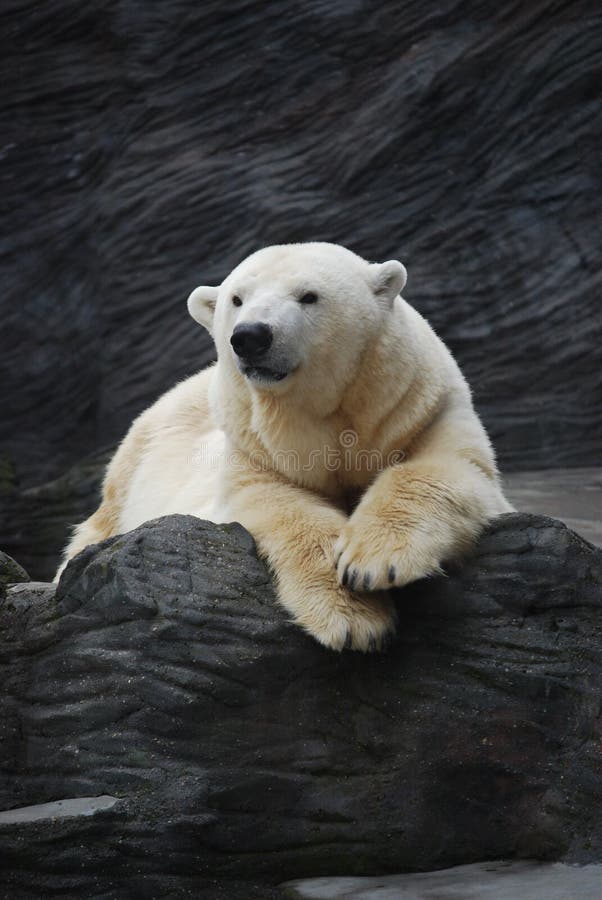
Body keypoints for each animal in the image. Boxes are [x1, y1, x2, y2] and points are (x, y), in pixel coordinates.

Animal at [56, 242, 512, 651]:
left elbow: (447, 467)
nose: (250, 336)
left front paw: (374, 561)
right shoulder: (253, 448)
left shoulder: (419, 409)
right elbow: (281, 504)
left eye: (308, 296)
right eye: (237, 299)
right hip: (140, 451)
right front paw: (352, 618)